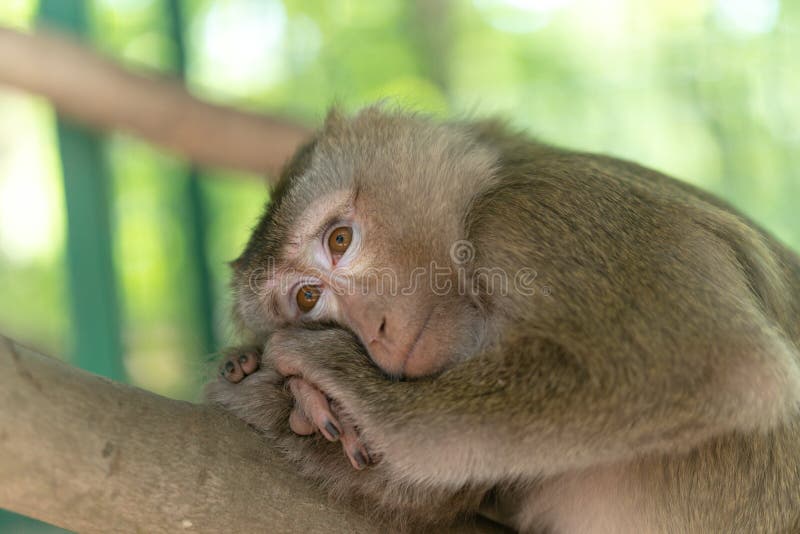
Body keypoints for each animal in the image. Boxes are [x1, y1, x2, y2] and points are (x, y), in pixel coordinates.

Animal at [205, 106, 800, 533]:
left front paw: (317, 378)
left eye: (339, 240)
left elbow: (716, 362)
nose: (373, 329)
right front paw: (270, 390)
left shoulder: (540, 218)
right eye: (308, 300)